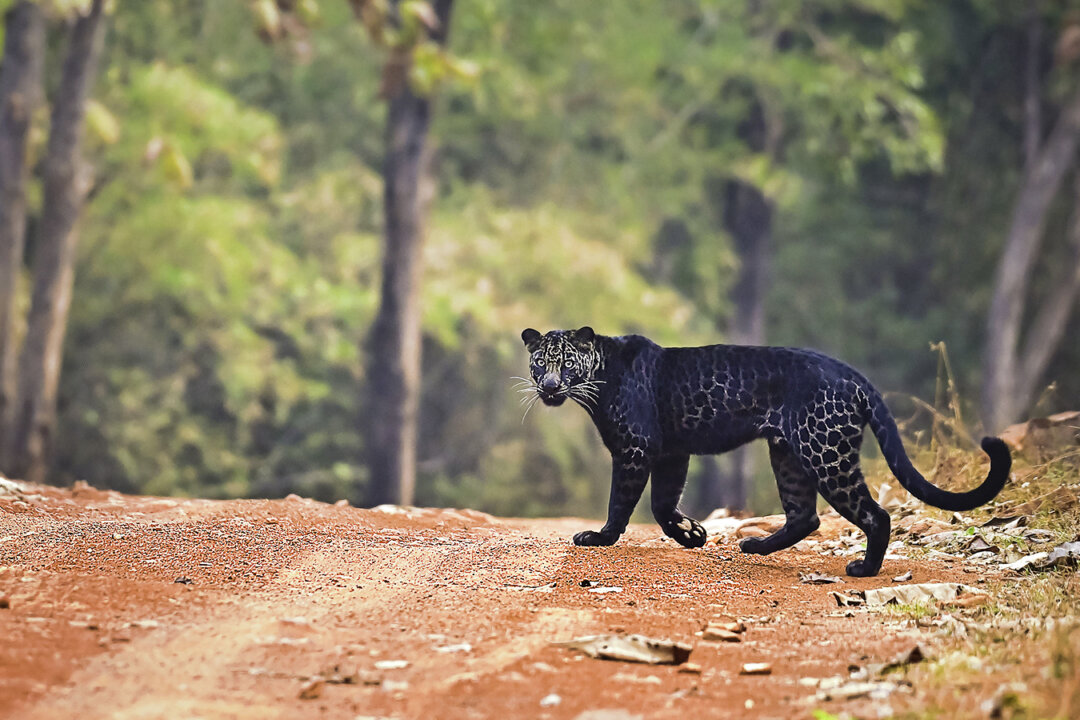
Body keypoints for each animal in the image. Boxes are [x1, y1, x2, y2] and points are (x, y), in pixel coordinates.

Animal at [518, 326, 1011, 577]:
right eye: (540, 362)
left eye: (565, 362)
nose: (550, 385)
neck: (598, 379)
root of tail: (852, 374)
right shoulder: (672, 452)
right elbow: (662, 503)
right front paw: (692, 535)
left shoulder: (636, 448)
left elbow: (623, 501)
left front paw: (599, 537)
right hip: (788, 454)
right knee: (805, 515)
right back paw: (756, 546)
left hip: (824, 452)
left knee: (875, 514)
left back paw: (864, 569)